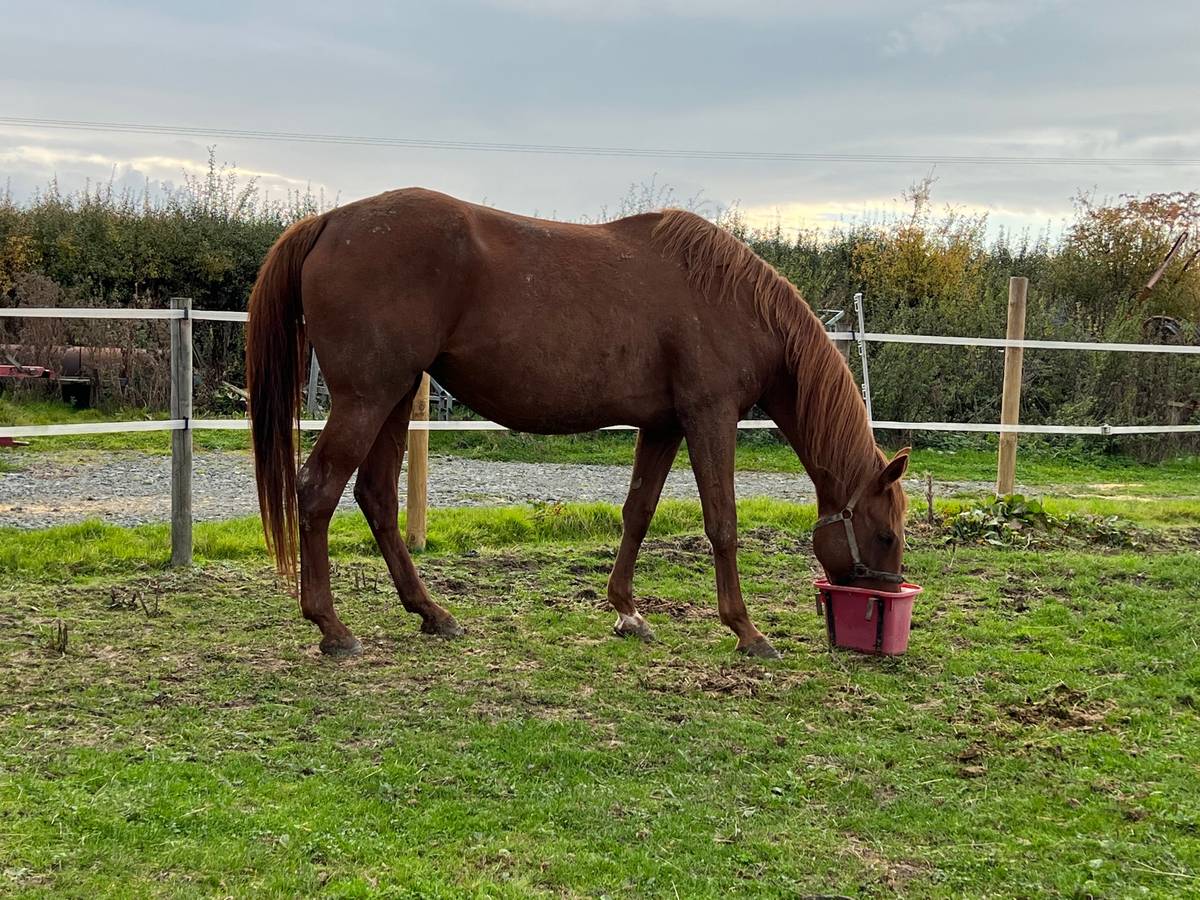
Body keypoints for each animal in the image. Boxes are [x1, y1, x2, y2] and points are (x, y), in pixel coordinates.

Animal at [246, 188, 910, 660]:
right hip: (367, 398)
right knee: (317, 492)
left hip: (395, 396)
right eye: (886, 535)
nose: (886, 597)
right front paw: (746, 631)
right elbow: (722, 523)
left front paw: (627, 612)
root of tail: (329, 222)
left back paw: (432, 614)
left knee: (376, 497)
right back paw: (333, 629)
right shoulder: (710, 417)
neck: (731, 299)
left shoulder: (664, 426)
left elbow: (638, 512)